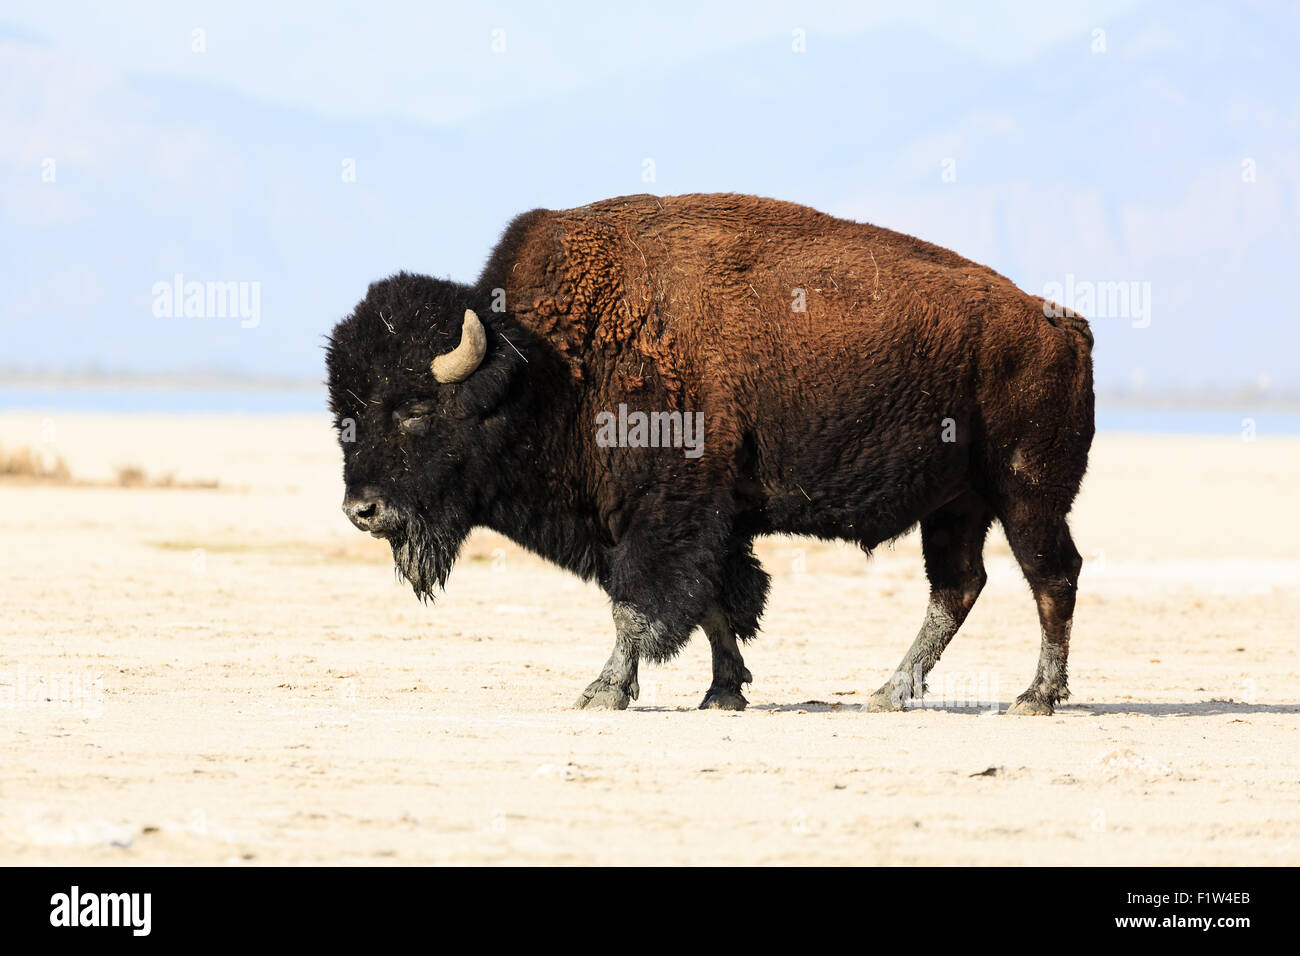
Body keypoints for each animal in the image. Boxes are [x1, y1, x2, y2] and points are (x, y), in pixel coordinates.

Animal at [327, 193, 1094, 714]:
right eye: (346, 419)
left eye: (416, 410)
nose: (362, 510)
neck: (542, 365)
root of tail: (1061, 323)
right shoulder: (709, 524)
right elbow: (716, 603)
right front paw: (724, 692)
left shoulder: (662, 518)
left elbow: (639, 605)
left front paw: (603, 691)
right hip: (956, 503)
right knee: (958, 586)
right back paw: (889, 690)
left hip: (1025, 490)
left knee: (1051, 576)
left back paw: (1036, 696)